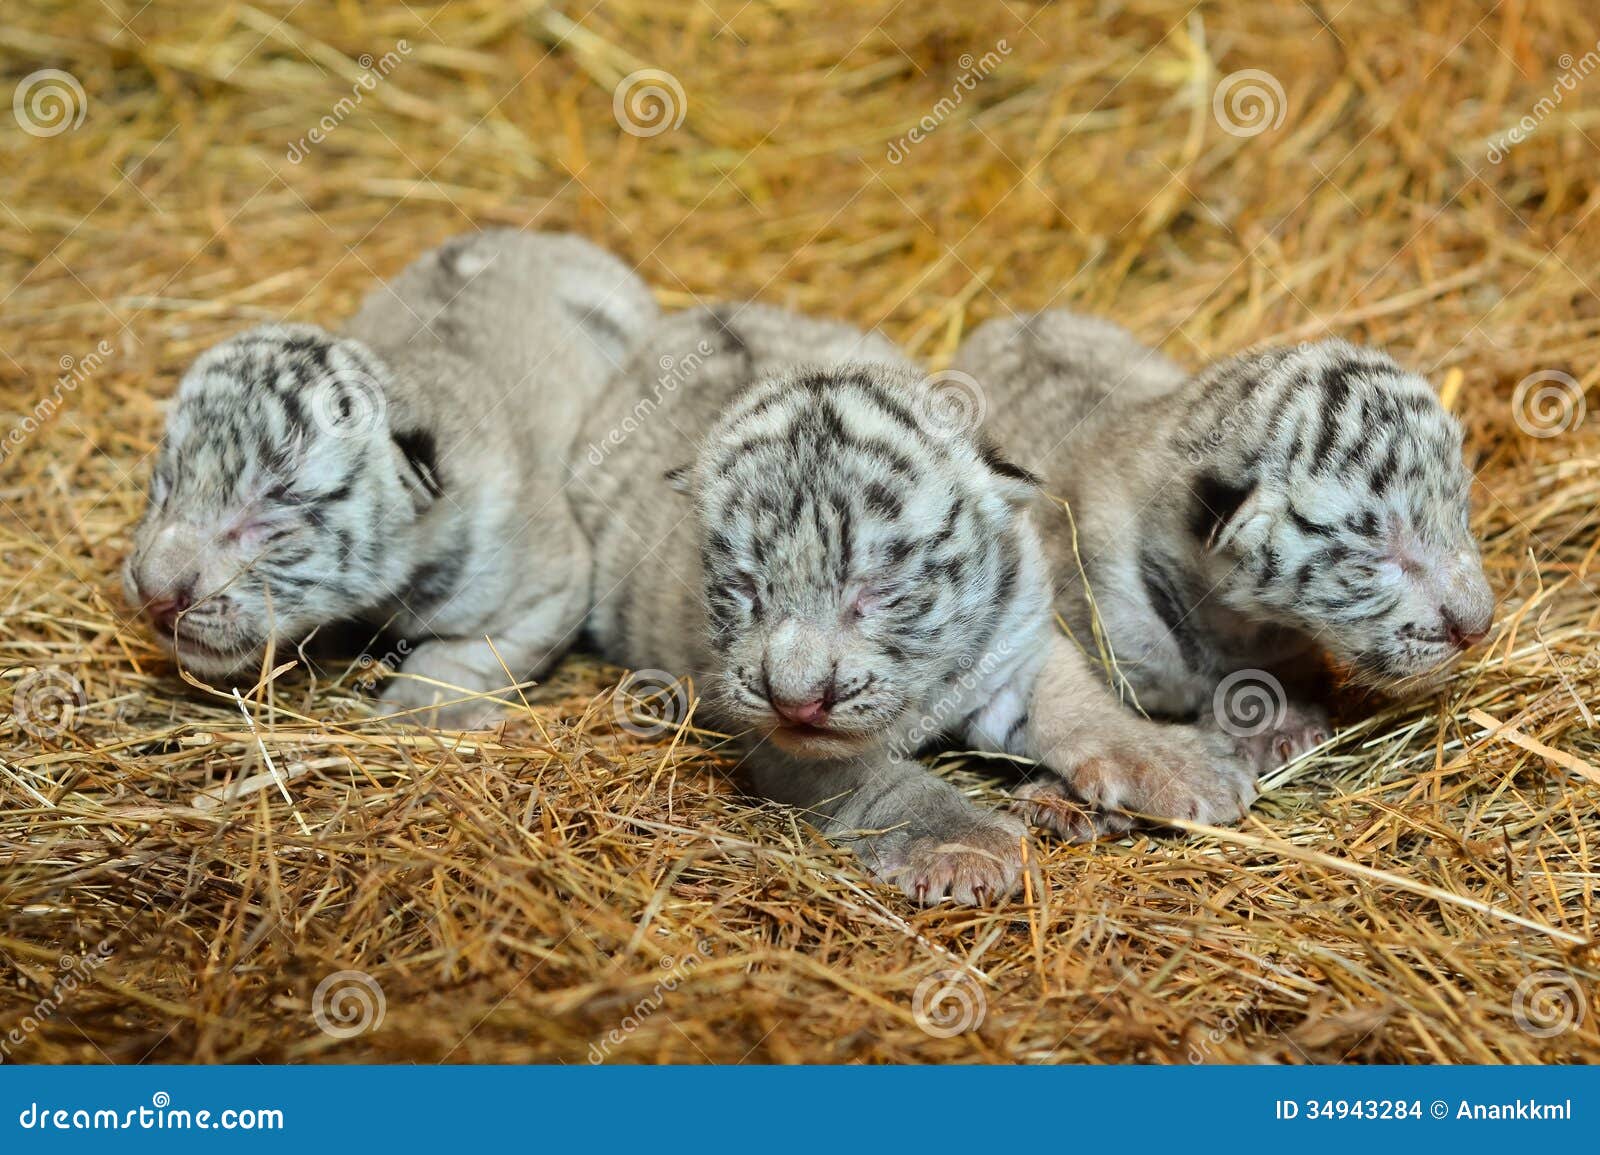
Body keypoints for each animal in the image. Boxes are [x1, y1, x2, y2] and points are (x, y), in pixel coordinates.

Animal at [123, 229, 657, 727]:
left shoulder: (548, 593)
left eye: (269, 519)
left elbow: (456, 657)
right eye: (165, 487)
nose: (153, 597)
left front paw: (412, 712)